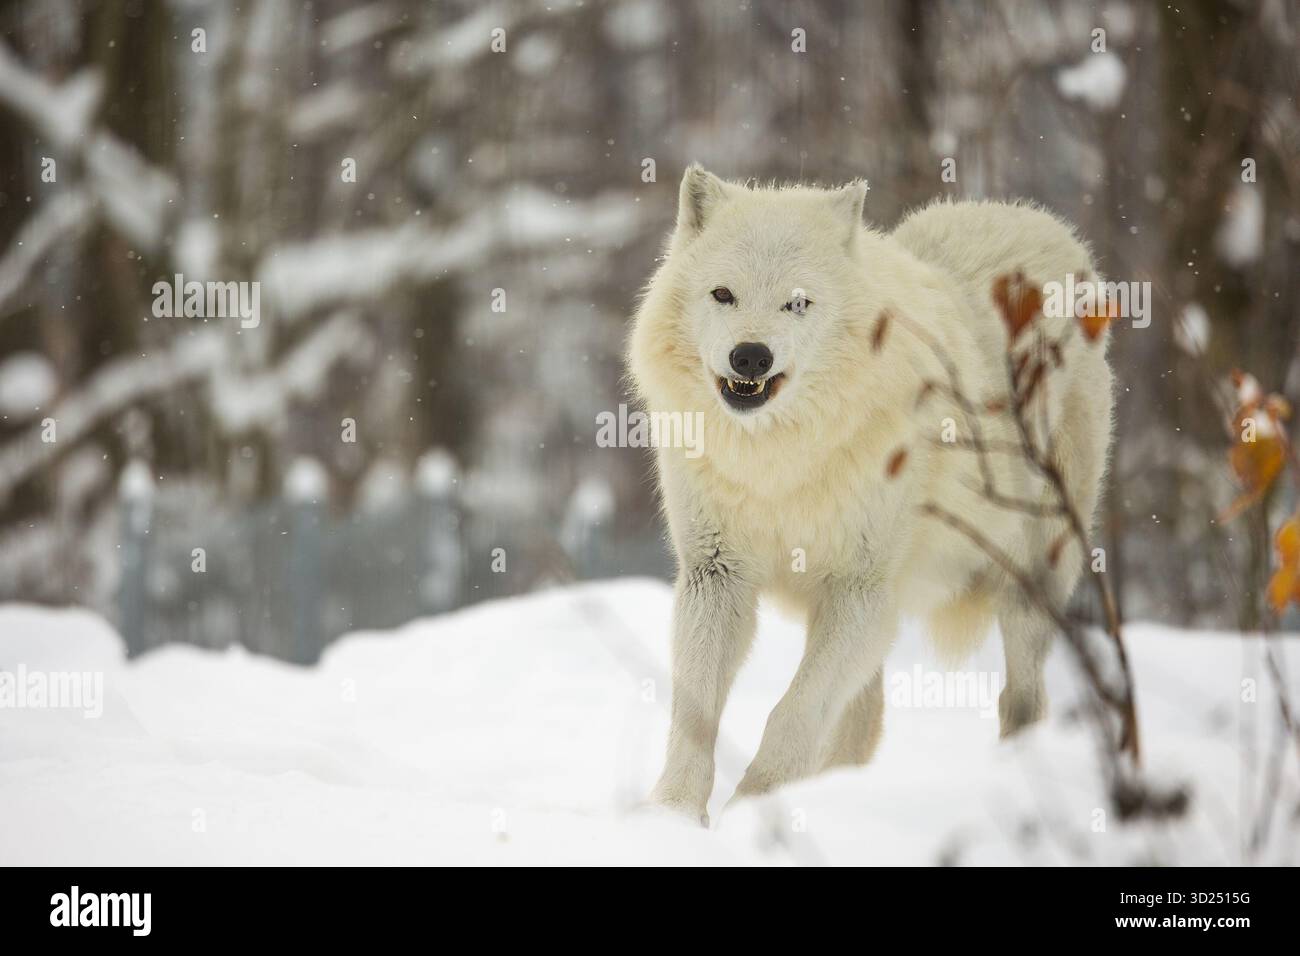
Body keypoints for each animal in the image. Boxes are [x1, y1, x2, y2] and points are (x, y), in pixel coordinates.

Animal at [626, 165, 1114, 824]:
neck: (778, 461)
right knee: (865, 718)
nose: (750, 356)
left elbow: (793, 711)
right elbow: (697, 710)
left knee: (1022, 700)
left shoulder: (858, 588)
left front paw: (754, 806)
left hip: (1028, 582)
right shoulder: (716, 574)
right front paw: (675, 815)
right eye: (722, 295)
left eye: (797, 302)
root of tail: (1036, 218)